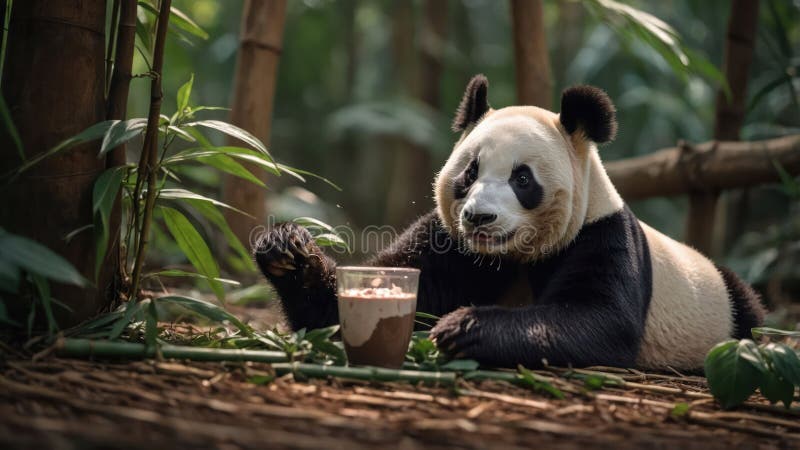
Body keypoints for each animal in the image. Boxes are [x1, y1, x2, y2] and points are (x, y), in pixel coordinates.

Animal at [255, 74, 765, 371]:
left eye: (523, 179)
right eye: (469, 173)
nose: (479, 217)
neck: (510, 256)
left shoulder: (600, 234)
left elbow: (600, 319)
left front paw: (465, 328)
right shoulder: (450, 242)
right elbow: (344, 307)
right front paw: (287, 249)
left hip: (726, 311)